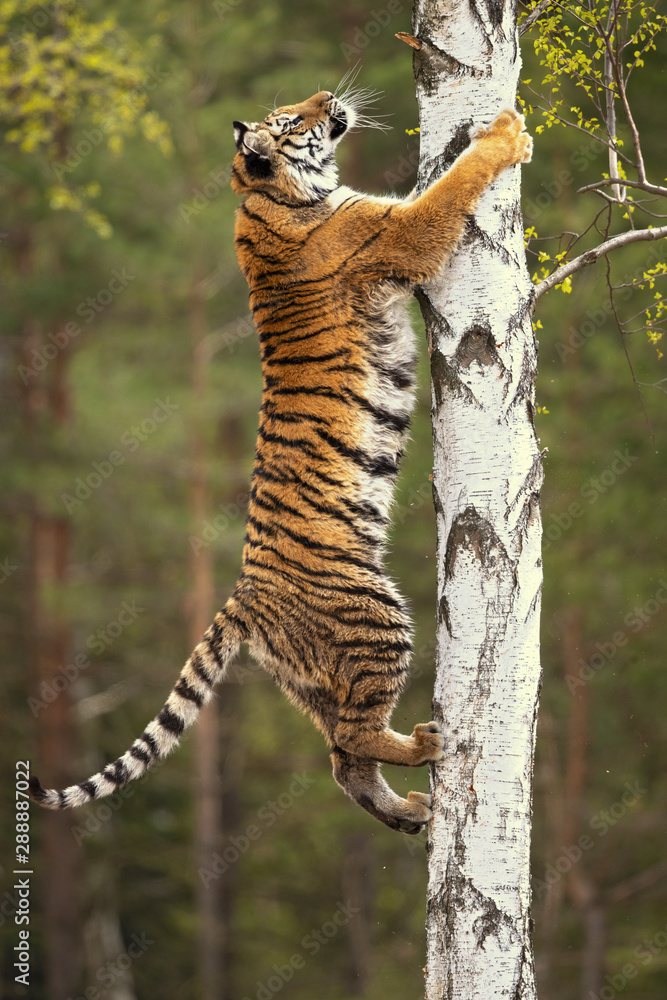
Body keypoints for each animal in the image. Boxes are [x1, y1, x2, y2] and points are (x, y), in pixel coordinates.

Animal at [29, 79, 532, 834]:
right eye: (292, 120)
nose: (327, 93)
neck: (266, 195)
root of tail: (243, 597)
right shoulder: (403, 231)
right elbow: (452, 185)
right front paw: (504, 134)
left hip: (320, 673)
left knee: (341, 759)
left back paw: (408, 811)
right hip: (375, 616)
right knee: (353, 737)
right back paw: (423, 748)